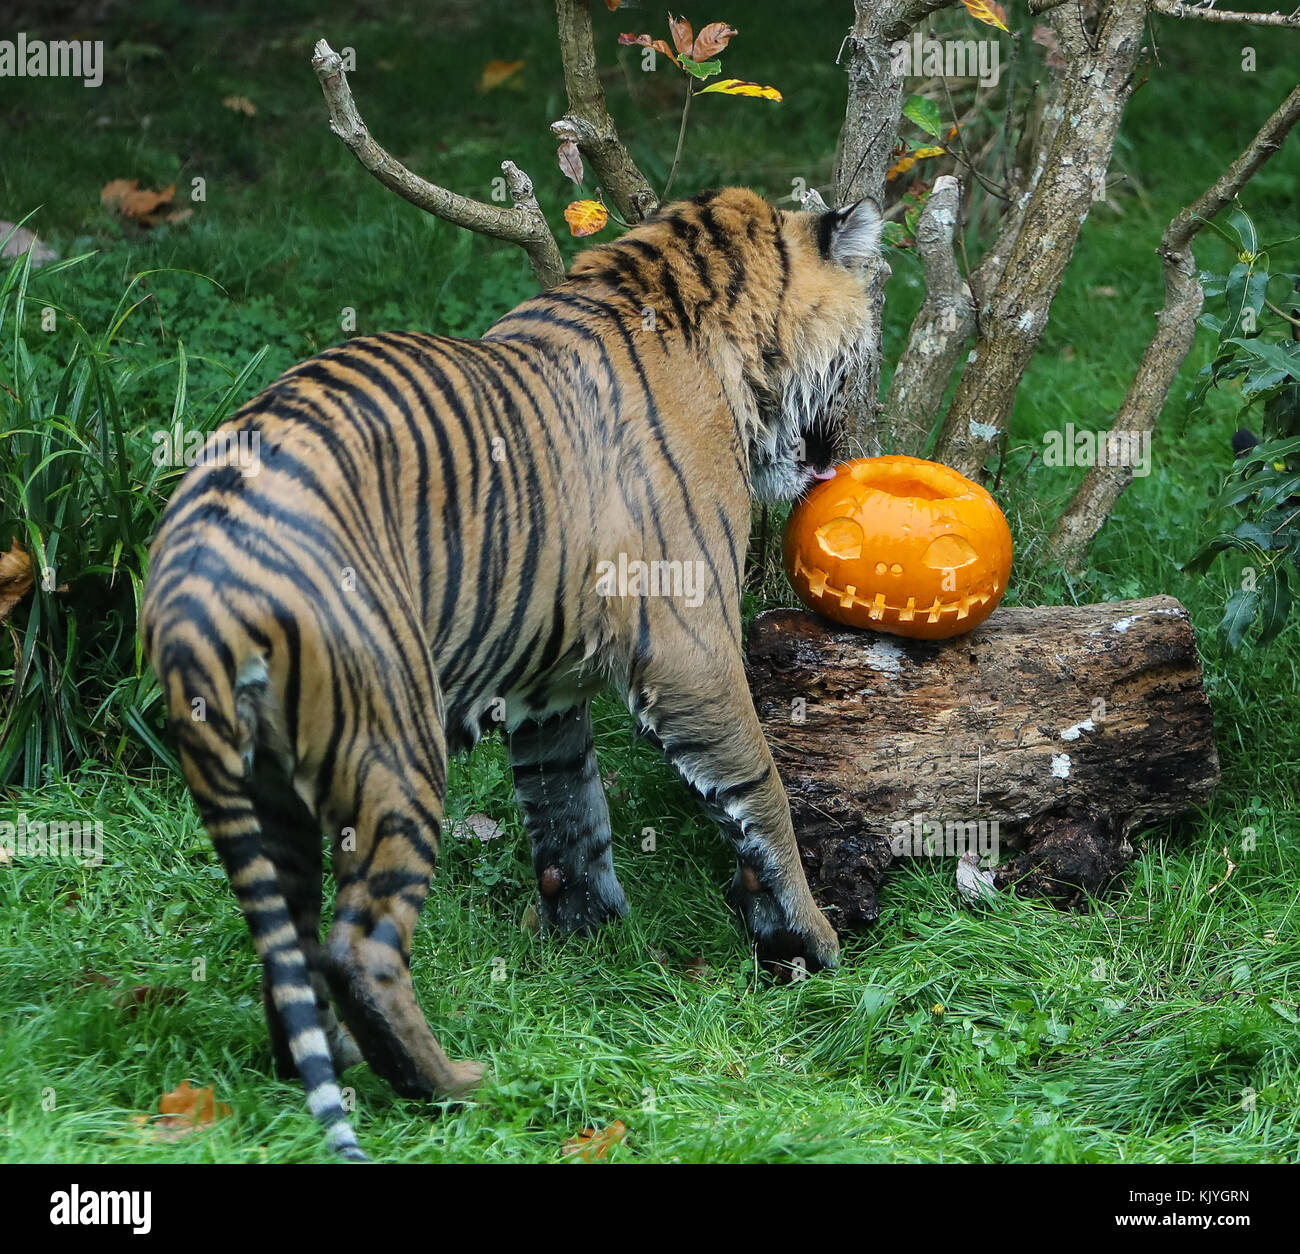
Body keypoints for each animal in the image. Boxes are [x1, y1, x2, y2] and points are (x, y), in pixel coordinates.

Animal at [139, 186, 883, 1159]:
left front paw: (591, 946)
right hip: (395, 743)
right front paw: (812, 940)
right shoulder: (691, 644)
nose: (855, 446)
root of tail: (198, 561)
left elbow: (569, 817)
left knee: (290, 949)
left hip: (264, 791)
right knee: (359, 947)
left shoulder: (547, 688)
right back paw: (455, 1087)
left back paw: (328, 1063)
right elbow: (762, 791)